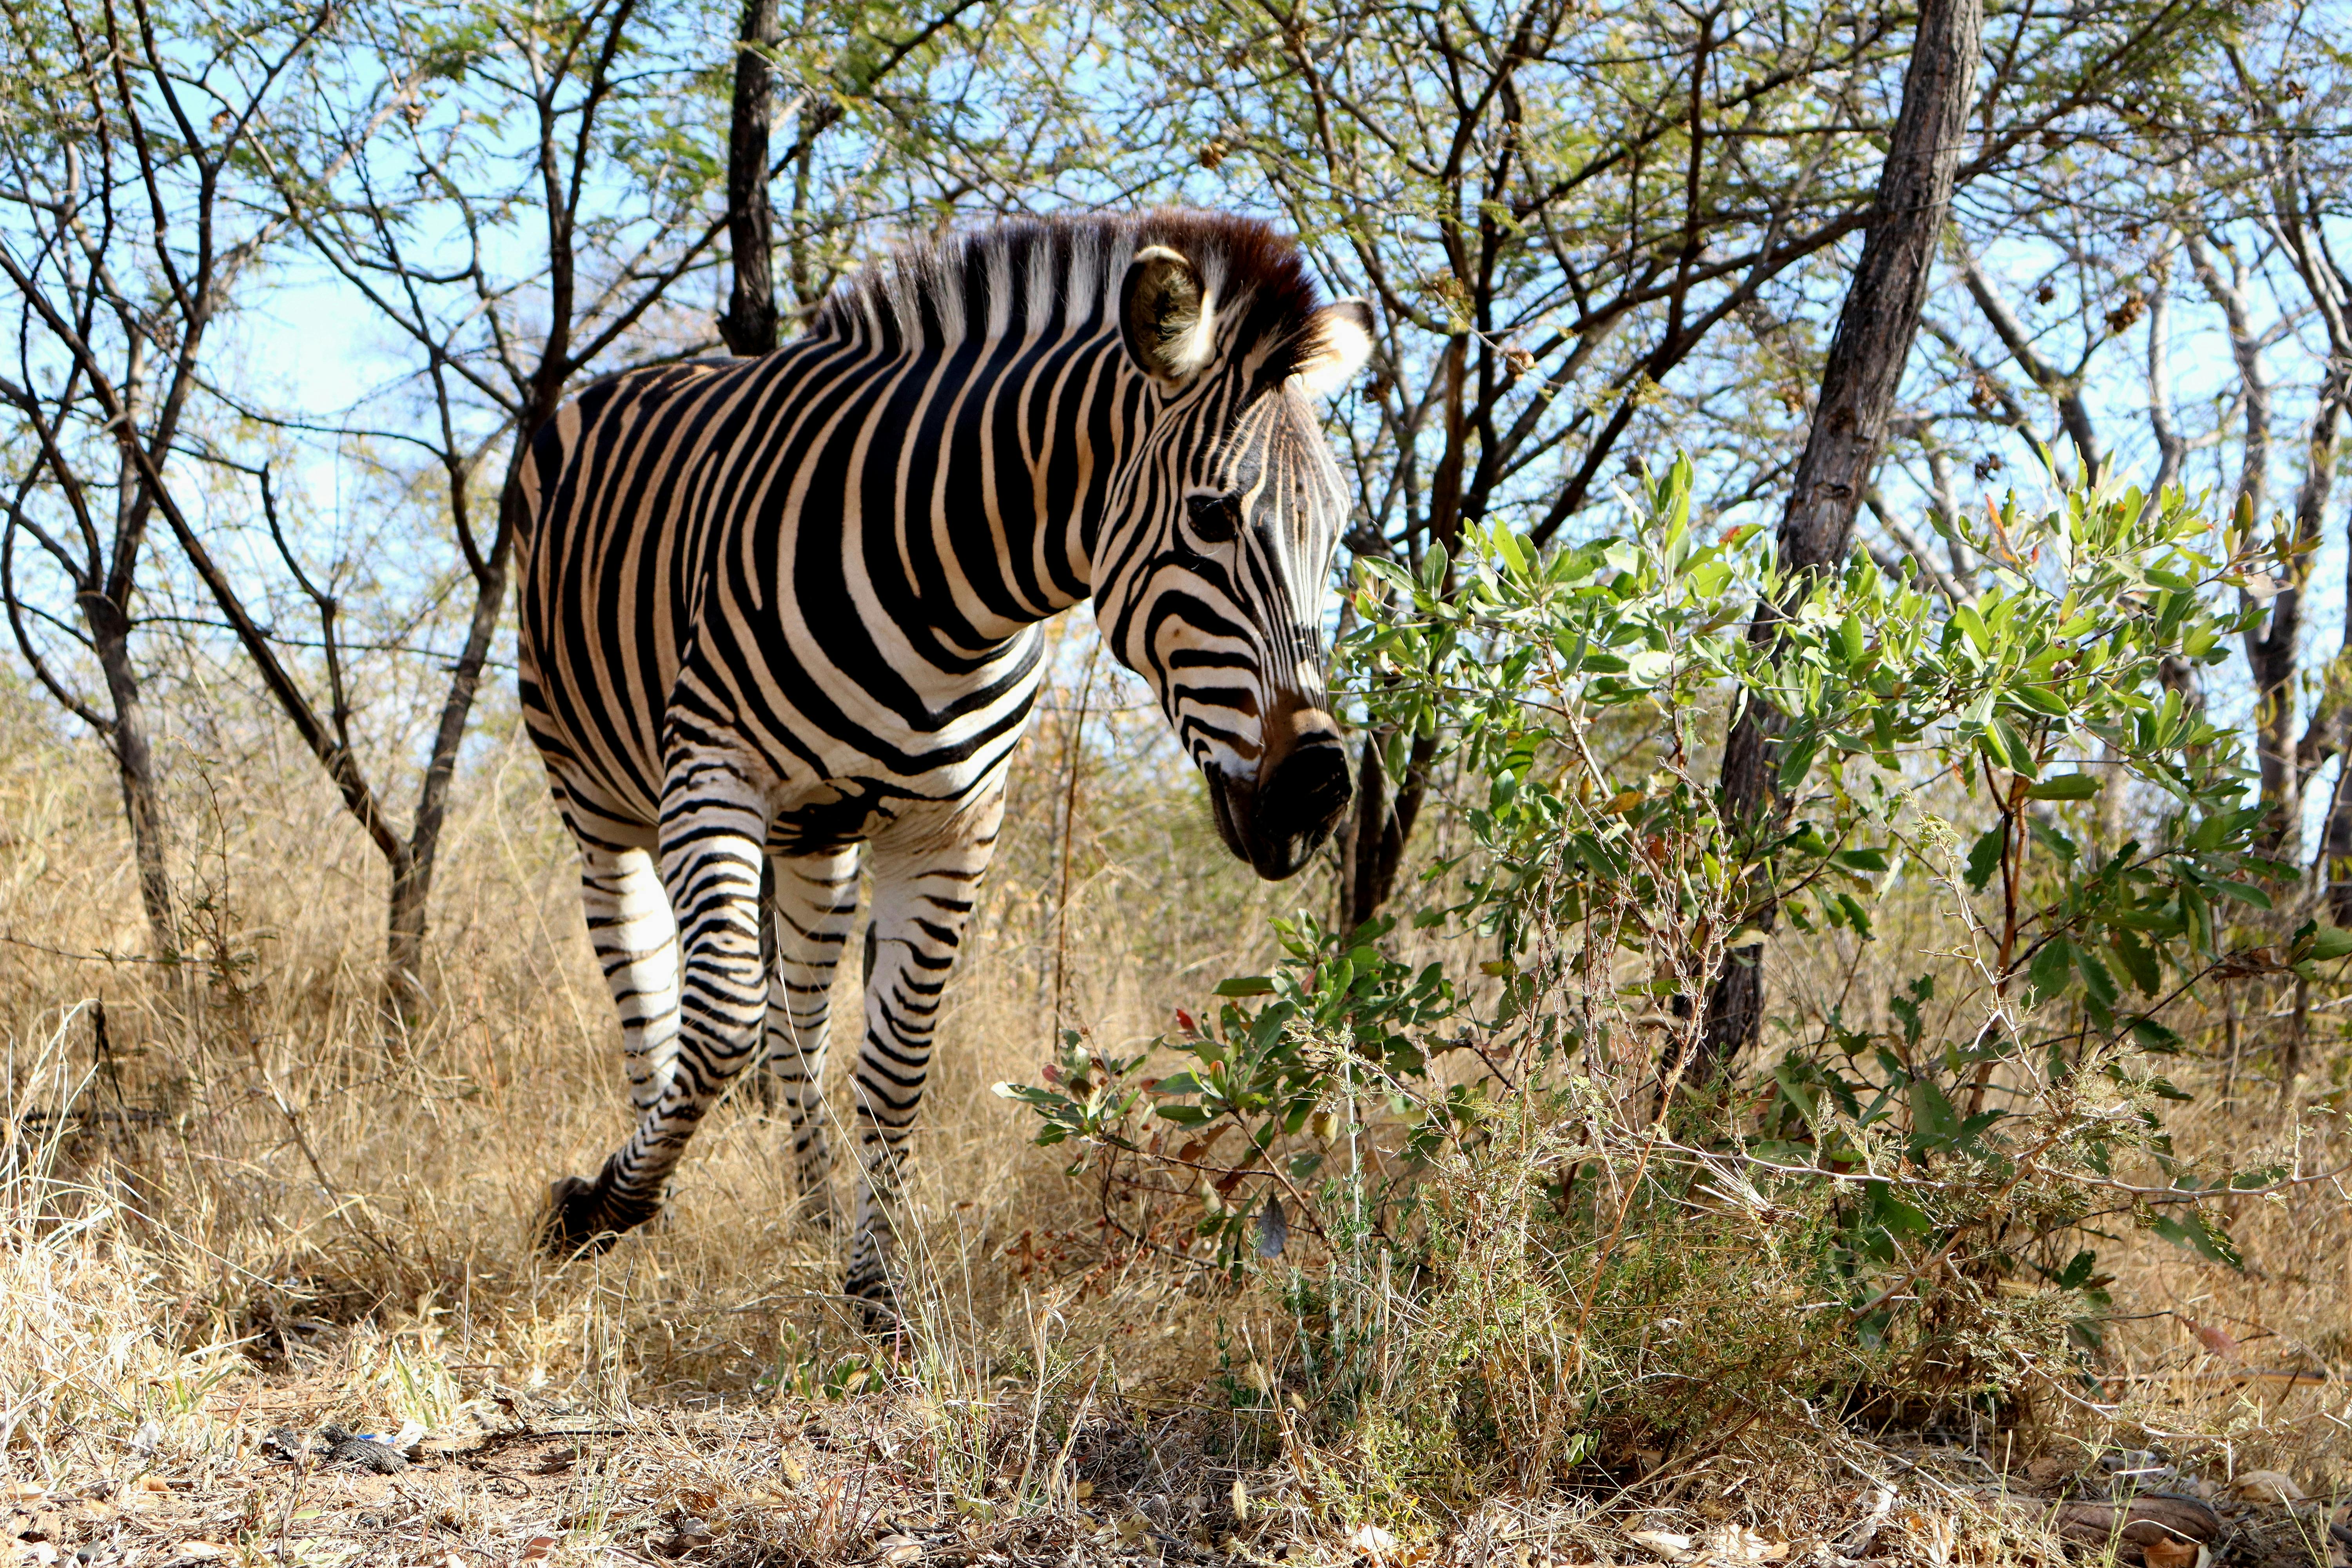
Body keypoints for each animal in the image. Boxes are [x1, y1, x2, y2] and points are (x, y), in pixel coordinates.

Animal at [515, 211, 1372, 1314]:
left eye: (1338, 533)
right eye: (1214, 516)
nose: (1317, 791)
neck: (955, 587)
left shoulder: (953, 821)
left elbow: (894, 1060)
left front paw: (876, 1290)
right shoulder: (712, 765)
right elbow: (719, 1022)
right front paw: (598, 1205)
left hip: (820, 831)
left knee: (799, 1016)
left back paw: (812, 1209)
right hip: (597, 793)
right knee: (648, 988)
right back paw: (639, 1208)